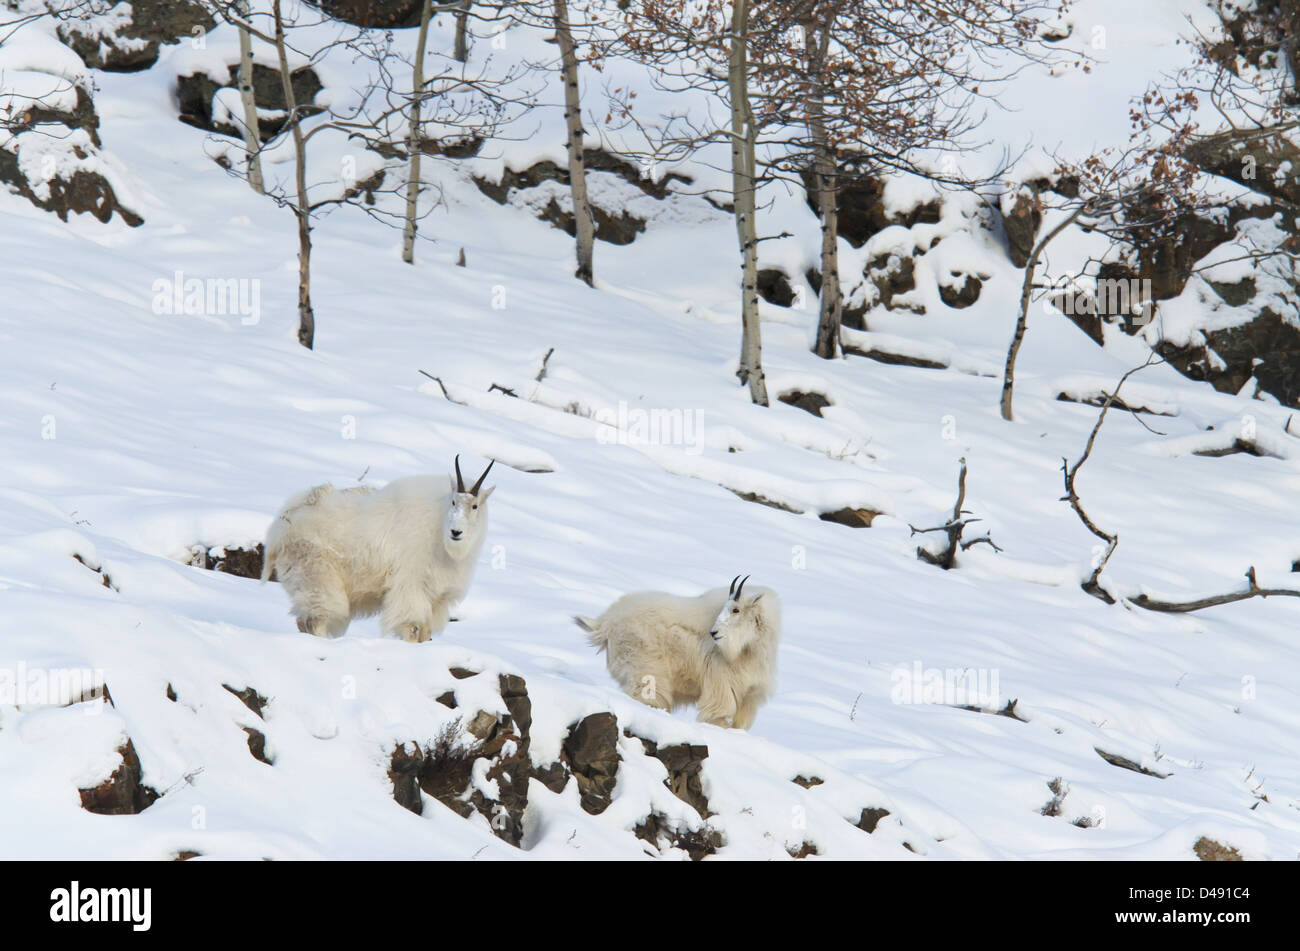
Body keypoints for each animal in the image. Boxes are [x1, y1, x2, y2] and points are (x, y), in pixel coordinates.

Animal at [261, 456, 495, 642]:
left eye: (475, 506)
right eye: (454, 502)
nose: (456, 532)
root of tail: (280, 528)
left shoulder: (437, 598)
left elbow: (426, 632)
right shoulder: (410, 587)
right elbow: (411, 628)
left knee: (303, 621)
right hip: (318, 579)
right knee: (315, 620)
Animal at [575, 575, 780, 729]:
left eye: (736, 609)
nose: (714, 633)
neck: (749, 650)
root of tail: (605, 624)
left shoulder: (749, 695)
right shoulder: (721, 685)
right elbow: (720, 715)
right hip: (646, 669)